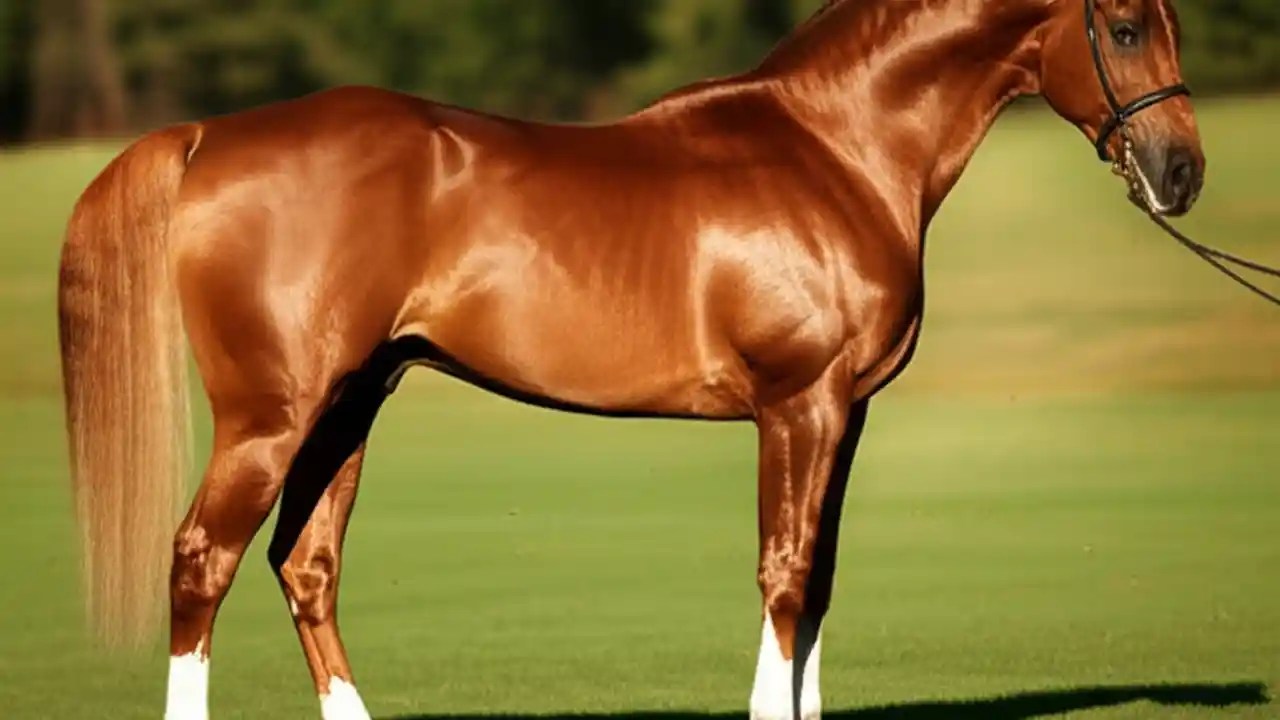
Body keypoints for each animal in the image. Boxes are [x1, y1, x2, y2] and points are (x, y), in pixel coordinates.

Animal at [57, 0, 1204, 718]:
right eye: (1121, 25)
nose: (1181, 171)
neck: (832, 148)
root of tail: (209, 136)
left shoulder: (847, 412)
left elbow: (820, 579)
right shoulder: (801, 405)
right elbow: (785, 575)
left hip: (348, 405)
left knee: (306, 566)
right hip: (272, 417)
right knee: (201, 563)